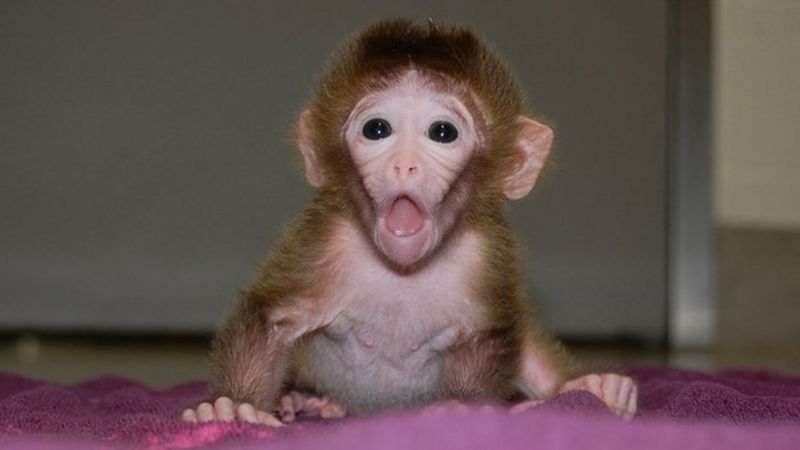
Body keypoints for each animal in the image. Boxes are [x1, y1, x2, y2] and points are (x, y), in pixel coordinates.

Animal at [182, 19, 637, 427]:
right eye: (377, 129)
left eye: (442, 132)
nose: (404, 165)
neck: (403, 271)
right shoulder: (326, 237)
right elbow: (273, 319)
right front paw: (231, 406)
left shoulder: (485, 253)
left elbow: (489, 332)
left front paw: (462, 405)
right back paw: (304, 400)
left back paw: (593, 388)